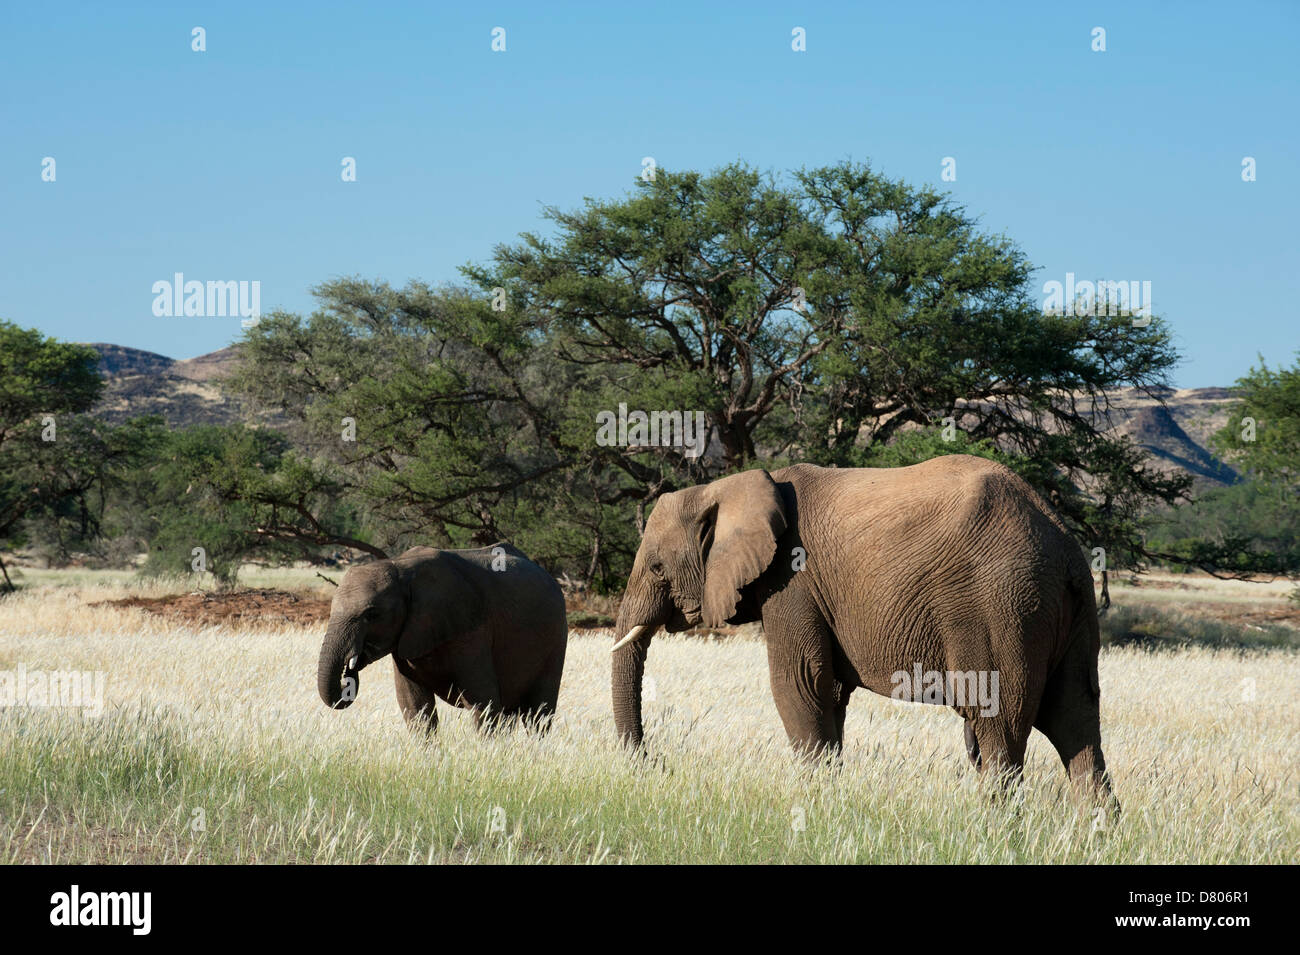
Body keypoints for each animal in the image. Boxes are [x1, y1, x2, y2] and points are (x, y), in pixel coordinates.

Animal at [317, 543, 568, 732]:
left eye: (372, 615)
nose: (349, 674)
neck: (401, 569)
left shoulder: (471, 629)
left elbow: (482, 701)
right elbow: (413, 703)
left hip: (556, 638)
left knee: (538, 712)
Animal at [611, 455, 1114, 800]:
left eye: (656, 567)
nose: (653, 765)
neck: (728, 487)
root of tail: (1064, 546)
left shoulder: (794, 580)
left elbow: (798, 683)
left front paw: (812, 806)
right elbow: (829, 692)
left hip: (1000, 608)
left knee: (999, 731)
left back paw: (996, 835)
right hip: (1069, 613)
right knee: (1077, 725)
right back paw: (1094, 836)